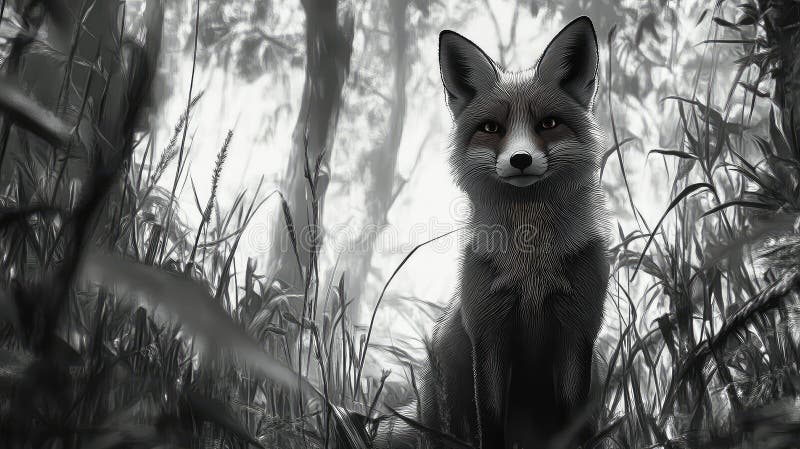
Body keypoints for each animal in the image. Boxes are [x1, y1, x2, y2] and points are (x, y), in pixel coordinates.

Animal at [373, 17, 610, 449]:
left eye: (548, 123)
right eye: (491, 128)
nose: (520, 159)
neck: (531, 266)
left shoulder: (578, 330)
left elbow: (575, 427)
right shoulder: (487, 333)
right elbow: (490, 420)